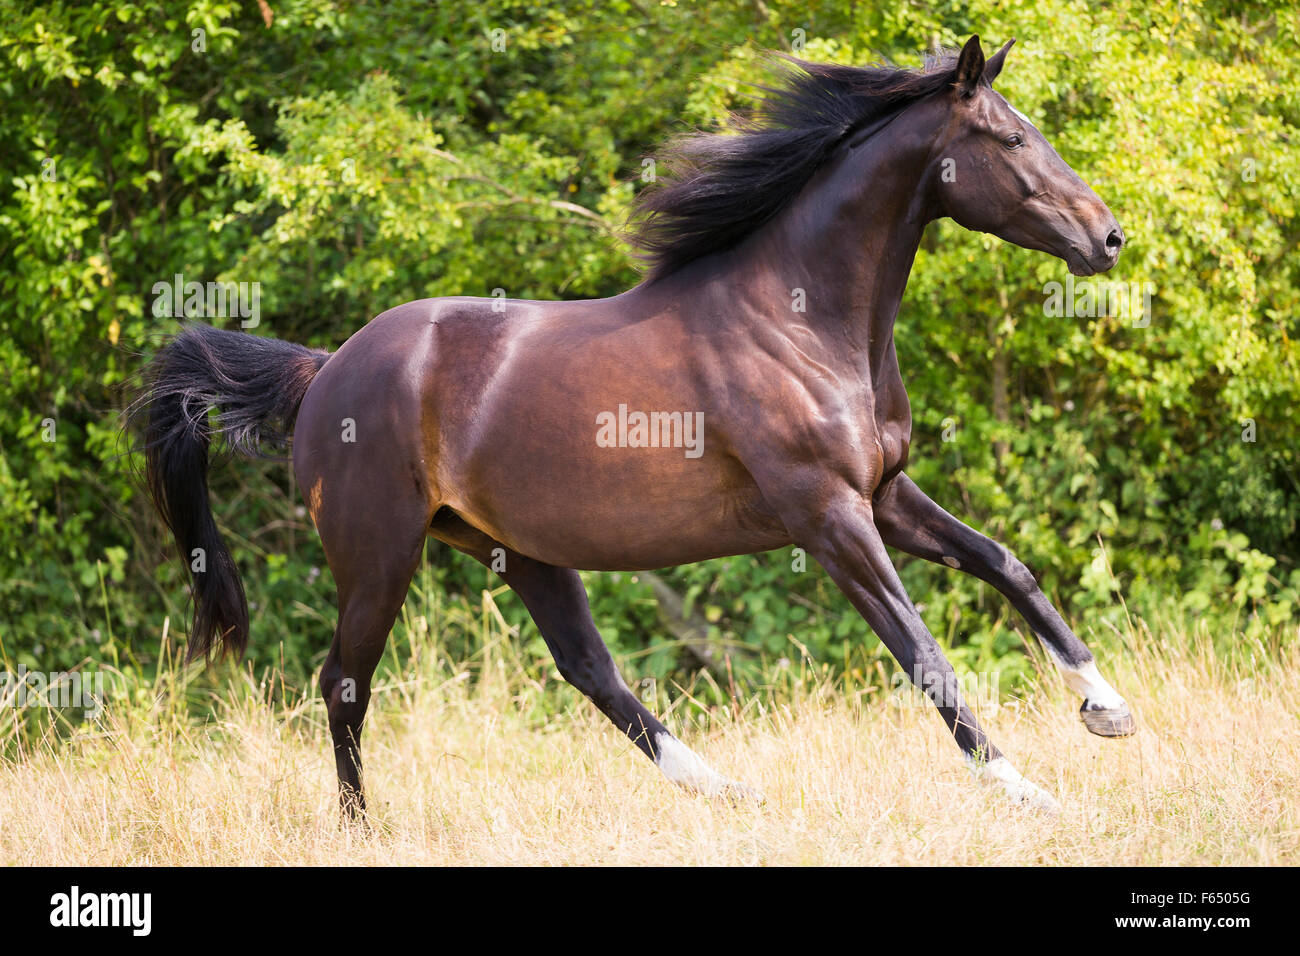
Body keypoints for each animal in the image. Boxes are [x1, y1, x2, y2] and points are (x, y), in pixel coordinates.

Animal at [138, 36, 1134, 816]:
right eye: (1010, 137)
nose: (1109, 237)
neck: (801, 320)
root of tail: (323, 373)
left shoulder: (883, 495)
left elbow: (1008, 565)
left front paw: (1108, 709)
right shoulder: (829, 518)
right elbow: (925, 653)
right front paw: (1027, 789)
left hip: (517, 549)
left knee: (592, 671)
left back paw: (727, 789)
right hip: (381, 553)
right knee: (345, 683)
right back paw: (363, 829)